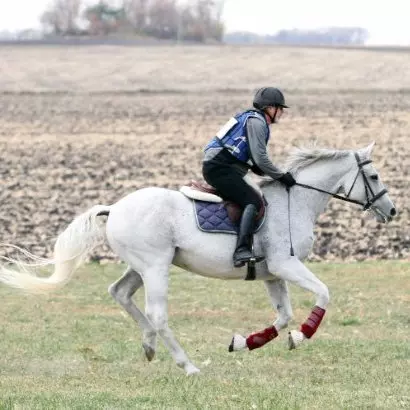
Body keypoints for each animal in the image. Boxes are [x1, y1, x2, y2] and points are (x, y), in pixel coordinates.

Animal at [0, 142, 396, 374]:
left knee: (120, 293)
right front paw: (302, 336)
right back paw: (187, 365)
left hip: (143, 266)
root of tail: (114, 208)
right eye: (375, 175)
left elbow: (282, 316)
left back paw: (148, 345)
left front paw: (245, 342)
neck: (295, 201)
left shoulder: (272, 273)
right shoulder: (287, 265)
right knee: (158, 315)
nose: (391, 211)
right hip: (156, 267)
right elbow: (324, 294)